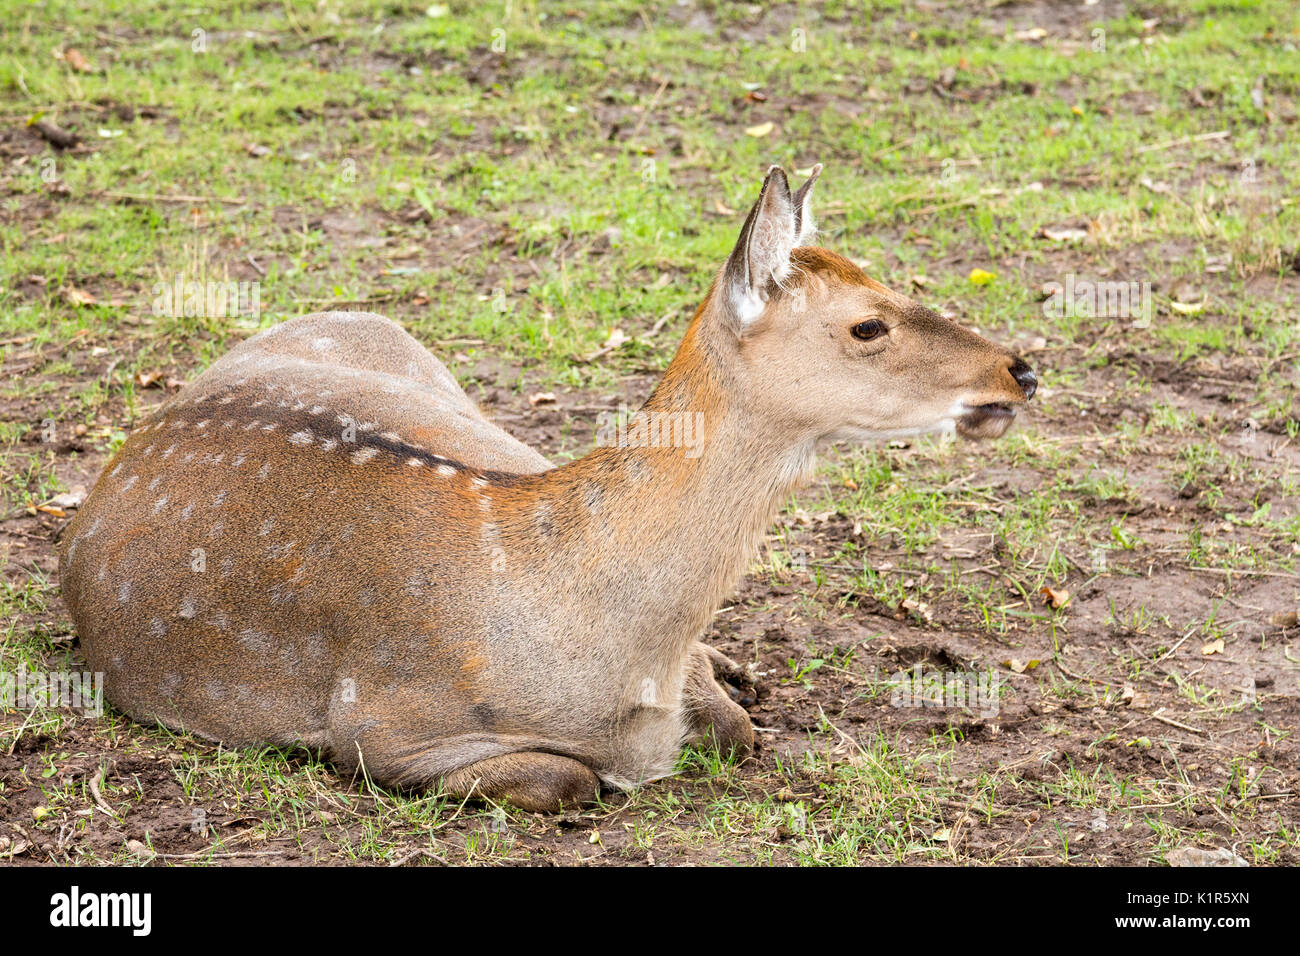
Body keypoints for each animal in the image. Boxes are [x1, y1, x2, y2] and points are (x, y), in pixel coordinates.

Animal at [58, 166, 1036, 812]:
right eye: (868, 324)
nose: (1019, 369)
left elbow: (735, 727)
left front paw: (731, 682)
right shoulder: (379, 731)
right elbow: (566, 777)